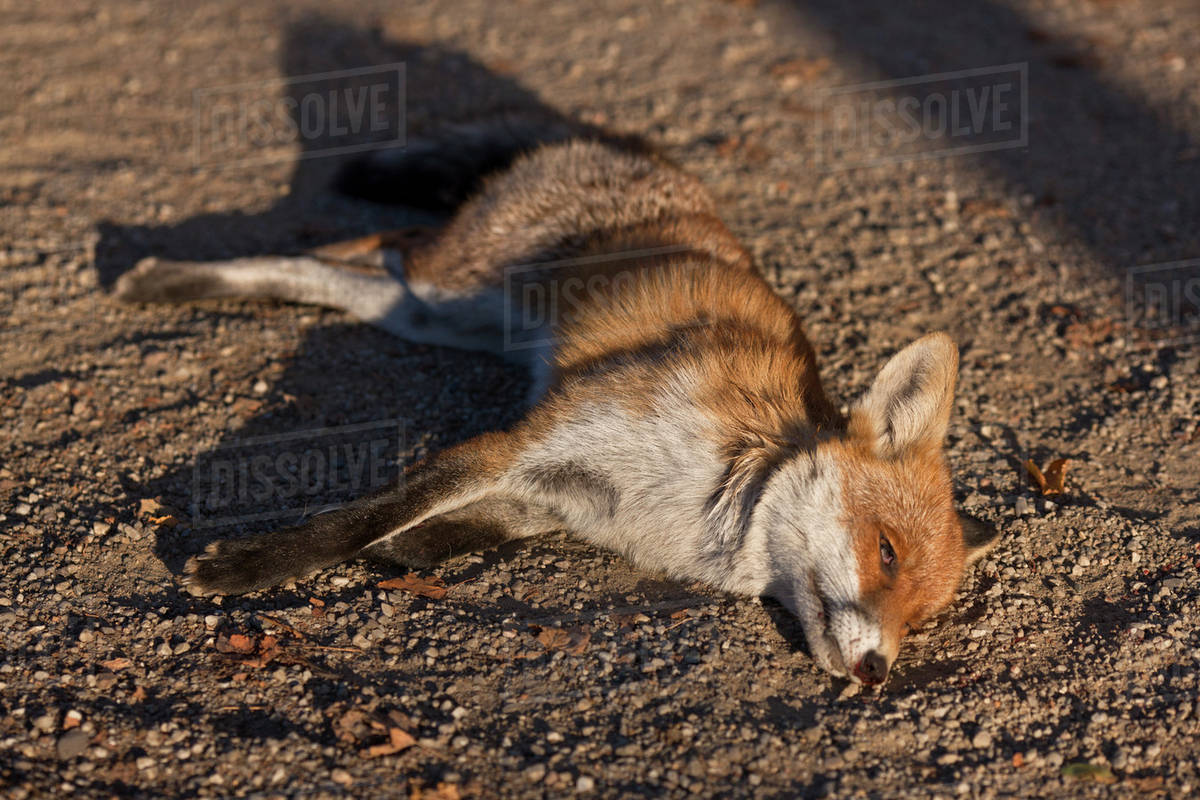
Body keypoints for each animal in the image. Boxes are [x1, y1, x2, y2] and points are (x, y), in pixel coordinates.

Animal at [114, 117, 999, 685]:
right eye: (886, 553)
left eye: (918, 620)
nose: (878, 671)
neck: (713, 501)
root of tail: (631, 150)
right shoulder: (526, 439)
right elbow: (369, 513)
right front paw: (246, 568)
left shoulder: (565, 499)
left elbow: (450, 530)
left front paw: (407, 553)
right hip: (447, 278)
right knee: (355, 245)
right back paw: (159, 274)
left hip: (431, 313)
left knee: (338, 276)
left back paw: (172, 282)